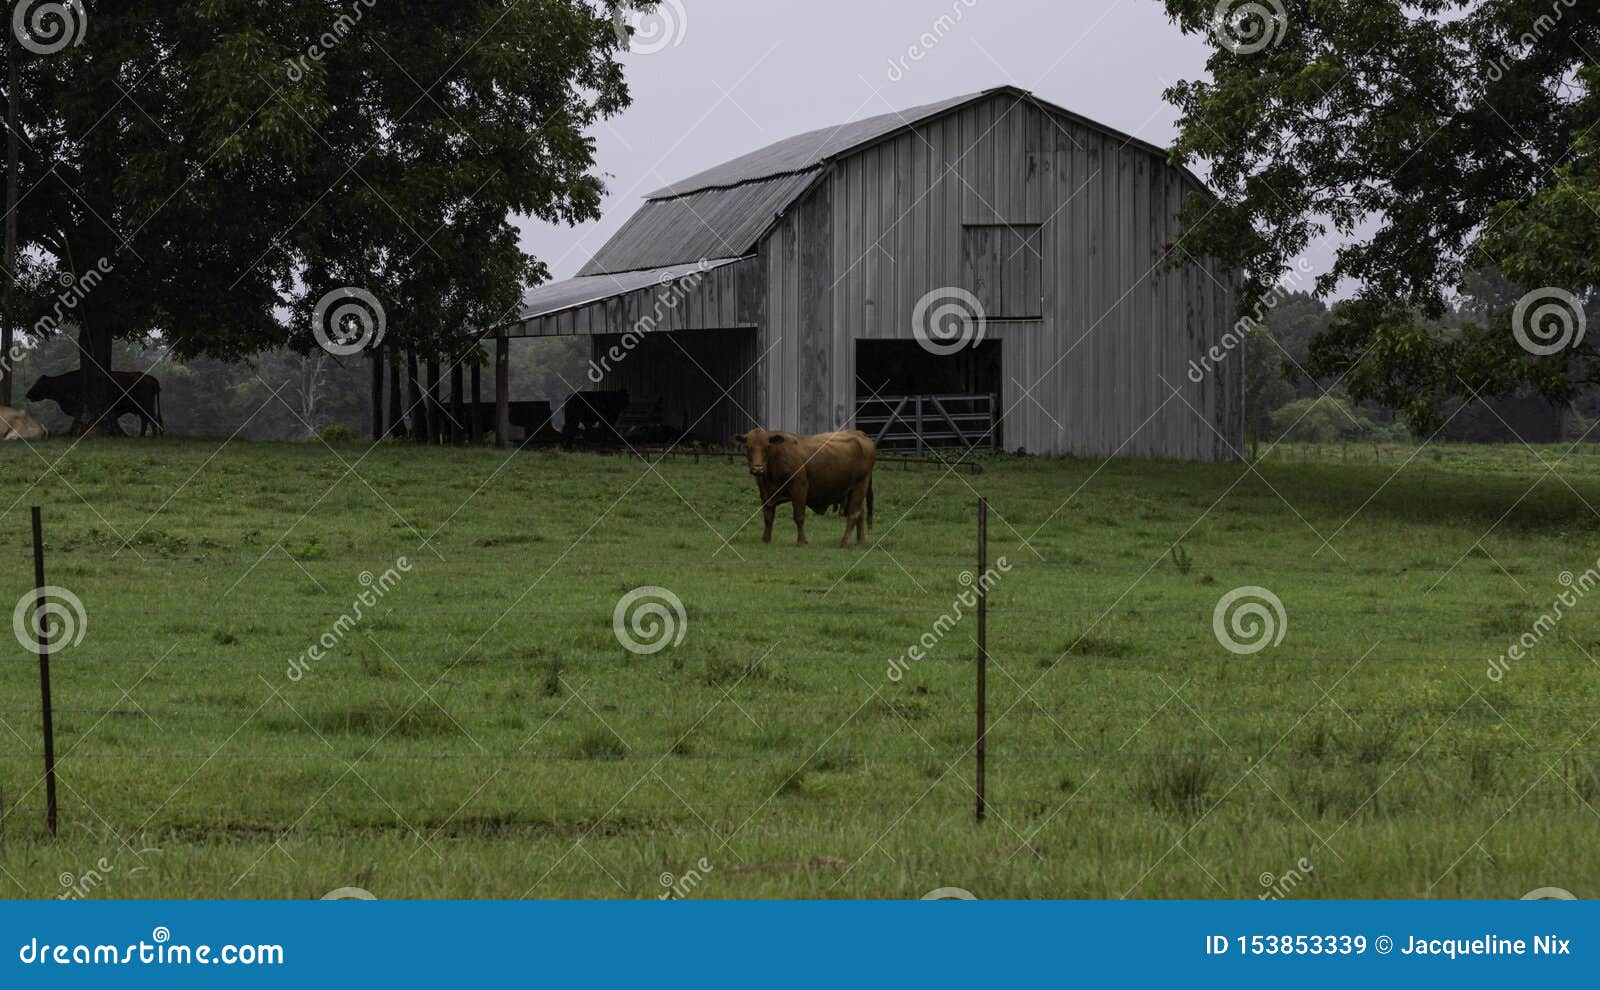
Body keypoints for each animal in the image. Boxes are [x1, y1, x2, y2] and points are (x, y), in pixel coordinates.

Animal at [26, 371, 164, 437]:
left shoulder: (78, 408)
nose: (27, 394)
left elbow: (77, 420)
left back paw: (153, 436)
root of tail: (149, 377)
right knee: (145, 420)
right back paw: (142, 435)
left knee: (152, 419)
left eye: (39, 384)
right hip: (141, 408)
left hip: (147, 406)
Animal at [731, 428, 877, 548]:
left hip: (860, 485)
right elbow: (768, 517)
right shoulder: (765, 493)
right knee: (860, 513)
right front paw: (766, 539)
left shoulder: (799, 488)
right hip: (854, 490)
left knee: (853, 514)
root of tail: (860, 434)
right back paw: (860, 541)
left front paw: (801, 541)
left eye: (767, 446)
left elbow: (799, 516)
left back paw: (844, 543)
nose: (757, 469)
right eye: (748, 447)